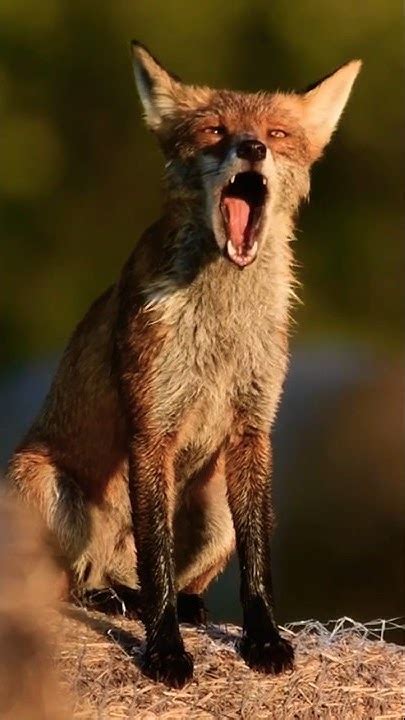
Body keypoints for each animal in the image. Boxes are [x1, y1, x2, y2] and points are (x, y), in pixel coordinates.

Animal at [5, 41, 361, 688]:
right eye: (215, 131)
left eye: (276, 134)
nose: (252, 149)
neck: (221, 330)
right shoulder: (153, 429)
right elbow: (158, 562)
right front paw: (165, 651)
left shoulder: (253, 427)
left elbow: (257, 563)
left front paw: (264, 641)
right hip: (42, 484)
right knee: (73, 586)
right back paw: (117, 600)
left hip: (215, 505)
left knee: (154, 577)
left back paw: (176, 604)